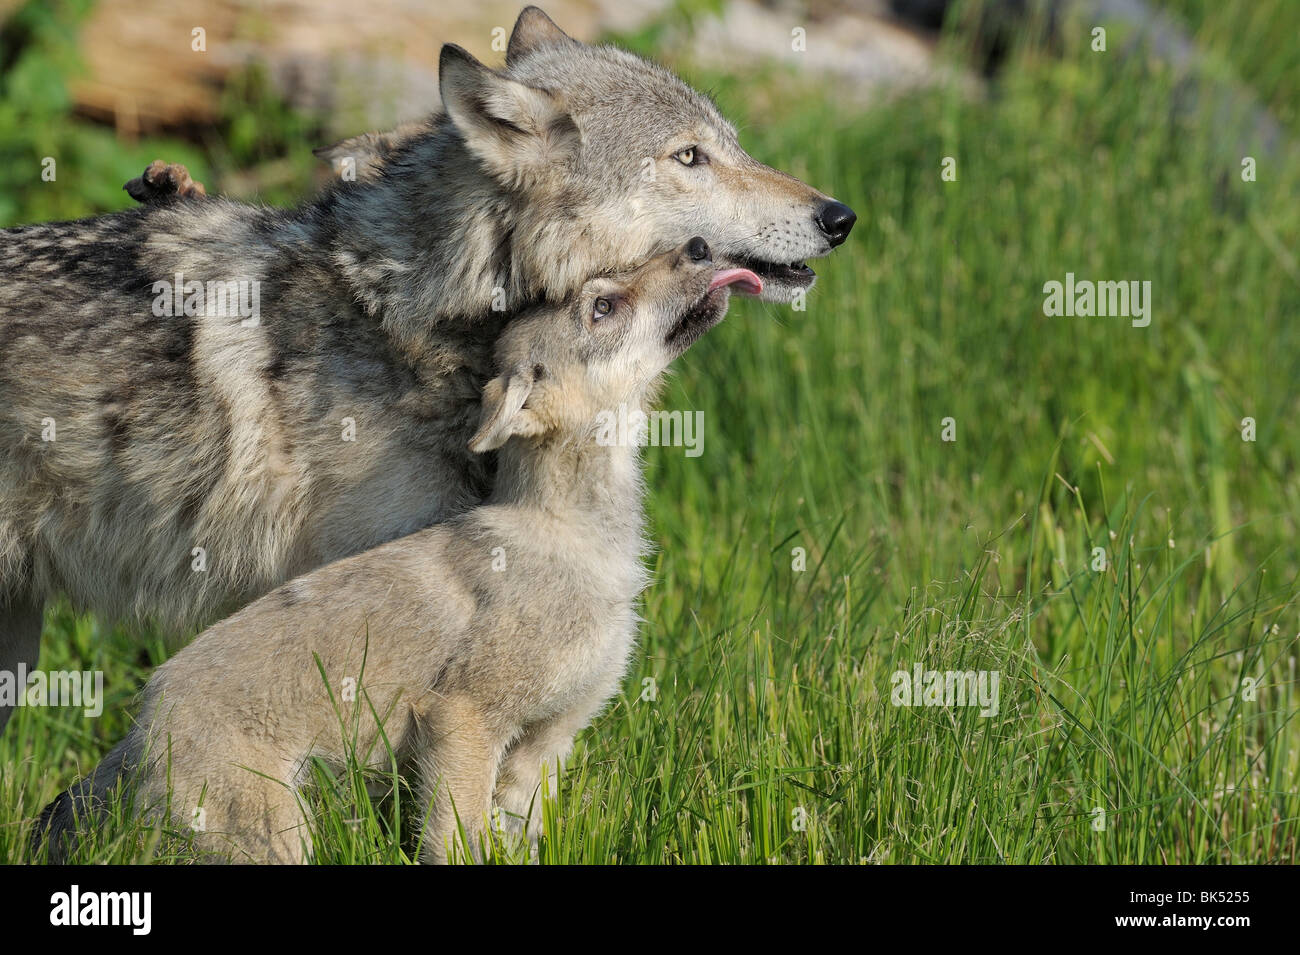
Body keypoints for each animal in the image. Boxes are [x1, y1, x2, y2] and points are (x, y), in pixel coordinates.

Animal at [36, 239, 759, 864]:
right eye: (603, 306)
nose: (699, 247)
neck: (576, 536)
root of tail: (139, 731)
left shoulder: (545, 745)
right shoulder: (461, 720)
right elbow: (454, 840)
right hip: (277, 837)